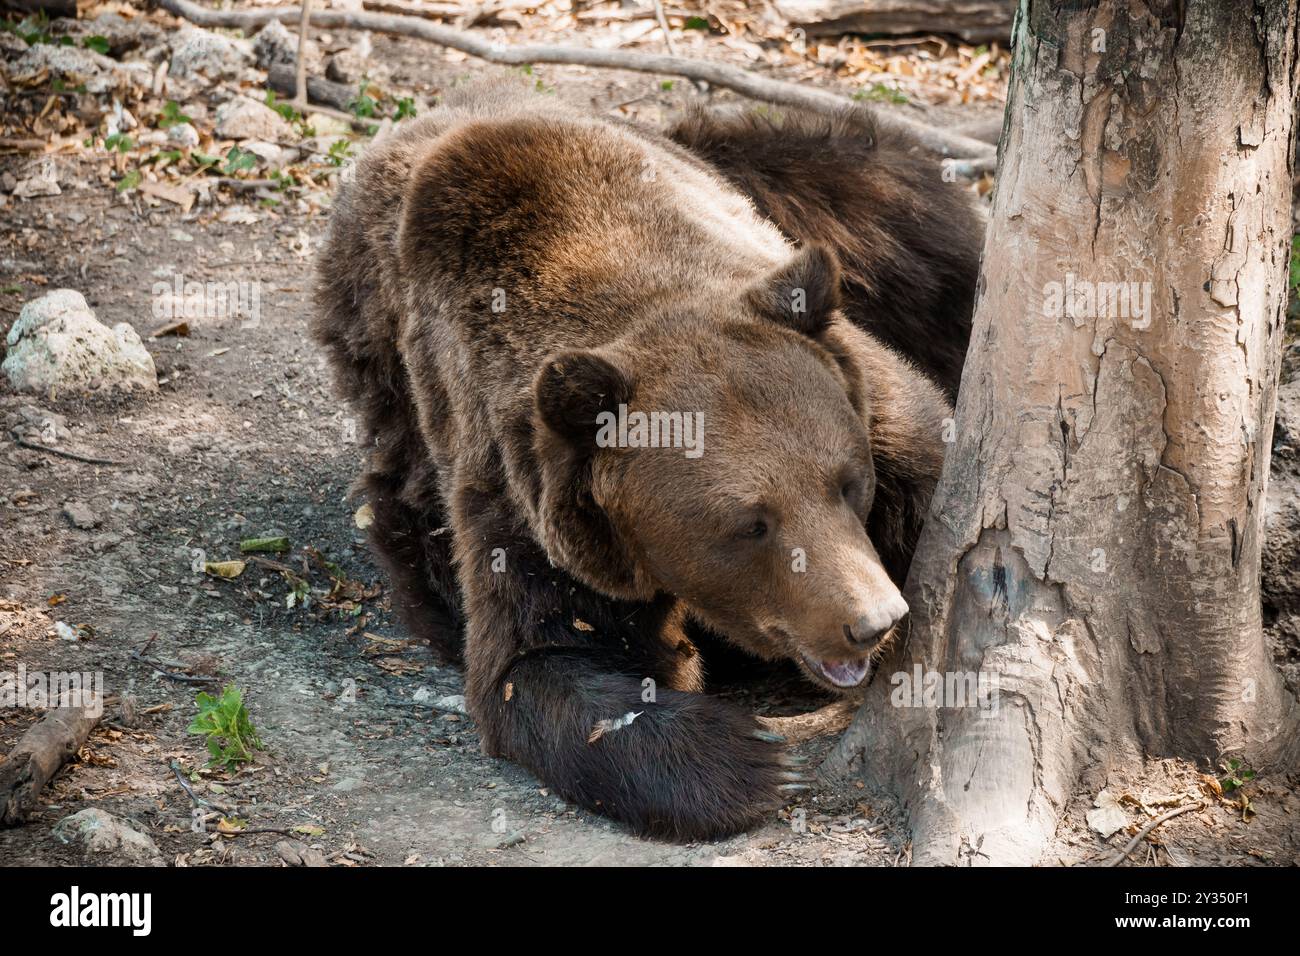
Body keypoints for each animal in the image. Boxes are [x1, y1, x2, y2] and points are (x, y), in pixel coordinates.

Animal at [313, 80, 982, 840]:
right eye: (752, 524)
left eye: (848, 483)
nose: (872, 619)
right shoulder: (524, 492)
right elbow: (537, 657)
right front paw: (748, 760)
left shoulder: (876, 405)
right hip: (386, 376)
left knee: (900, 203)